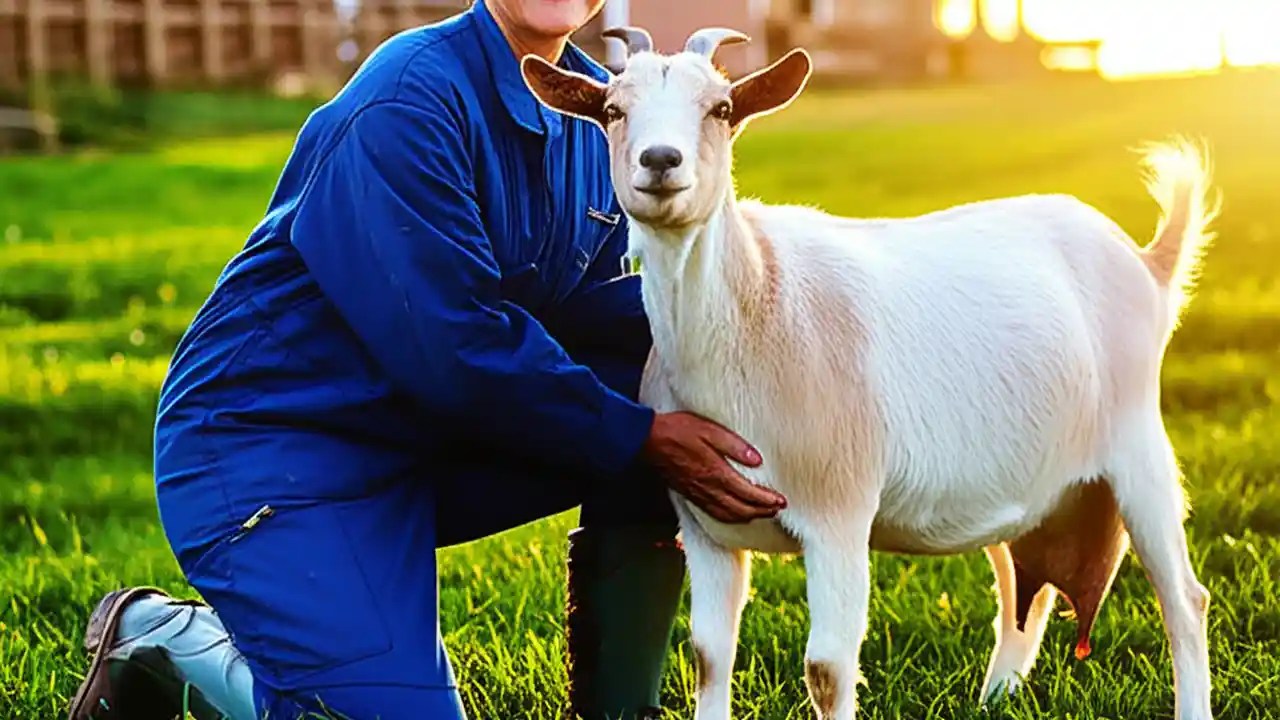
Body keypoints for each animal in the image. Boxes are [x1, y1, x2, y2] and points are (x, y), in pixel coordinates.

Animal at [522, 27, 1219, 720]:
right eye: (614, 110)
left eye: (720, 109)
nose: (661, 160)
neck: (757, 304)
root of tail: (1147, 263)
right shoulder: (704, 528)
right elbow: (707, 655)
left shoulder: (840, 509)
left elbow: (827, 670)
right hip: (1024, 476)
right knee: (1023, 593)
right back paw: (995, 697)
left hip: (1137, 444)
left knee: (1184, 598)